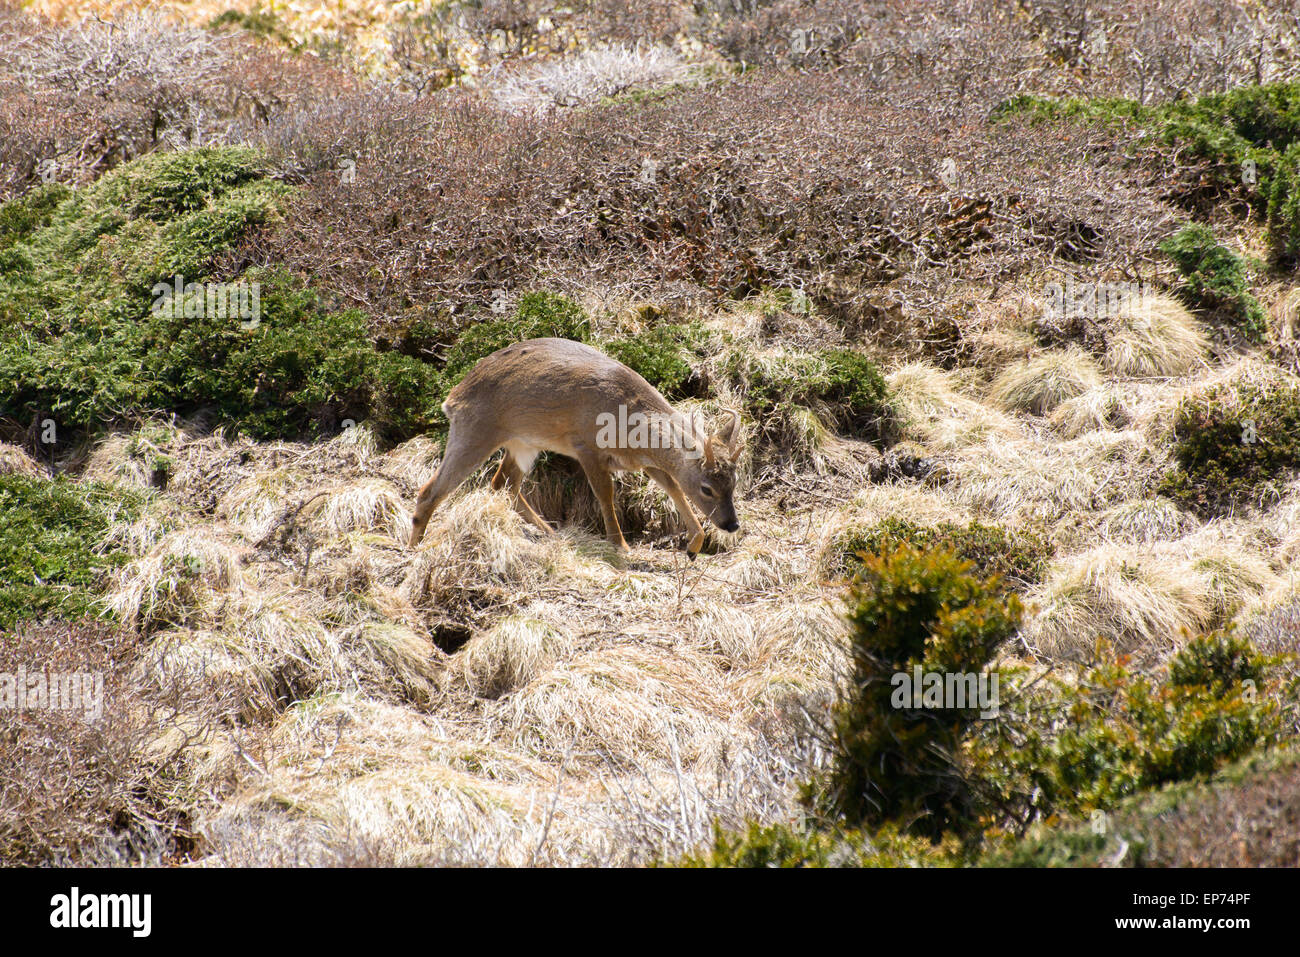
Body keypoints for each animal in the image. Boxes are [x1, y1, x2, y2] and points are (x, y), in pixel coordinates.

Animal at [408, 338, 743, 556]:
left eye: (734, 483)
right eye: (707, 488)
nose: (731, 524)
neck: (629, 419)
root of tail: (452, 397)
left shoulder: (644, 460)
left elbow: (673, 486)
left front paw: (695, 544)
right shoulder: (587, 447)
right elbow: (606, 493)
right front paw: (620, 545)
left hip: (523, 443)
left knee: (503, 482)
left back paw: (549, 533)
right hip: (475, 432)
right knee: (430, 490)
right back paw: (413, 547)